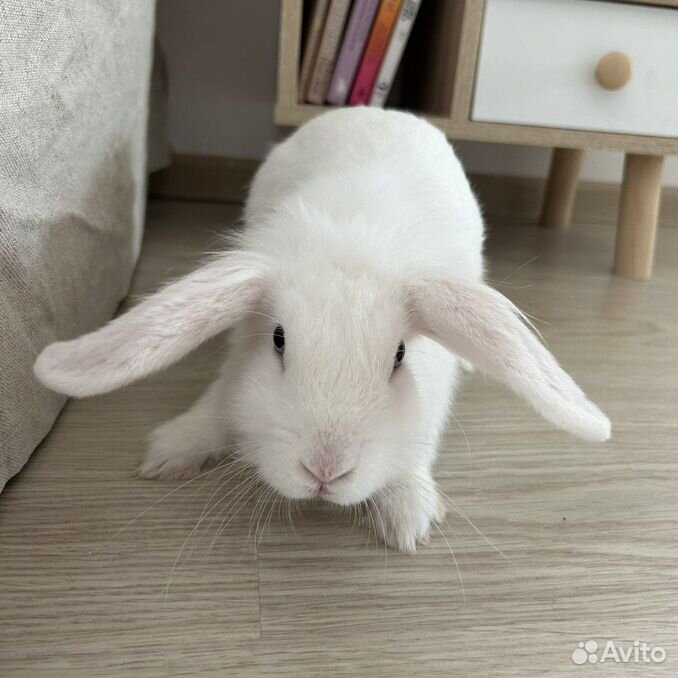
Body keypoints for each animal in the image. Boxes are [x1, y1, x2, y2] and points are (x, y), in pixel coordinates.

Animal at [34, 107, 610, 553]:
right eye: (278, 340)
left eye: (399, 356)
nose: (324, 472)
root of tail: (378, 109)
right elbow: (219, 401)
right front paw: (172, 452)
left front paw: (407, 518)